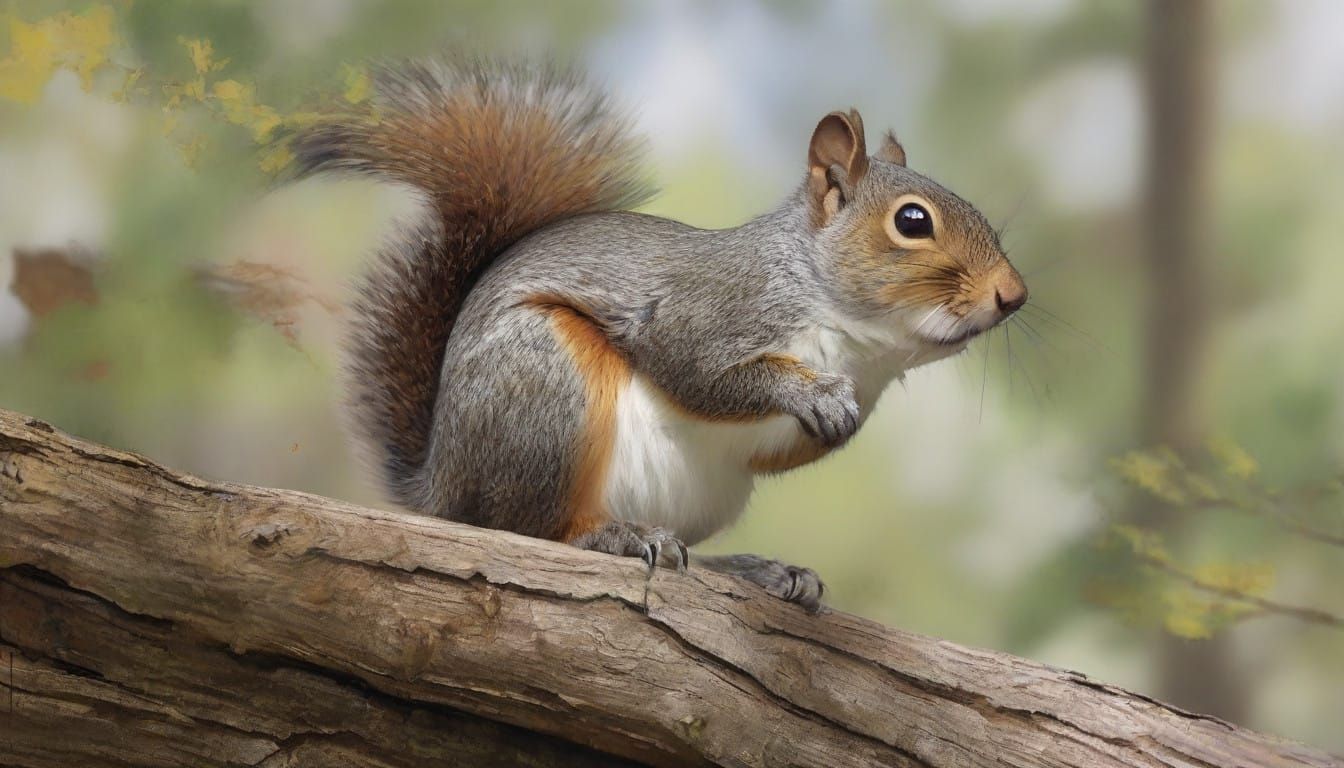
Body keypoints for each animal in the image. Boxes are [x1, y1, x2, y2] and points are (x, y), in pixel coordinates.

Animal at [291, 57, 1027, 613]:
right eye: (912, 221)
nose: (1013, 295)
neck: (853, 337)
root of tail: (440, 487)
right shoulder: (701, 313)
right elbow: (701, 373)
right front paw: (810, 393)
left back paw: (752, 568)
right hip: (544, 389)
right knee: (526, 526)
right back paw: (611, 538)